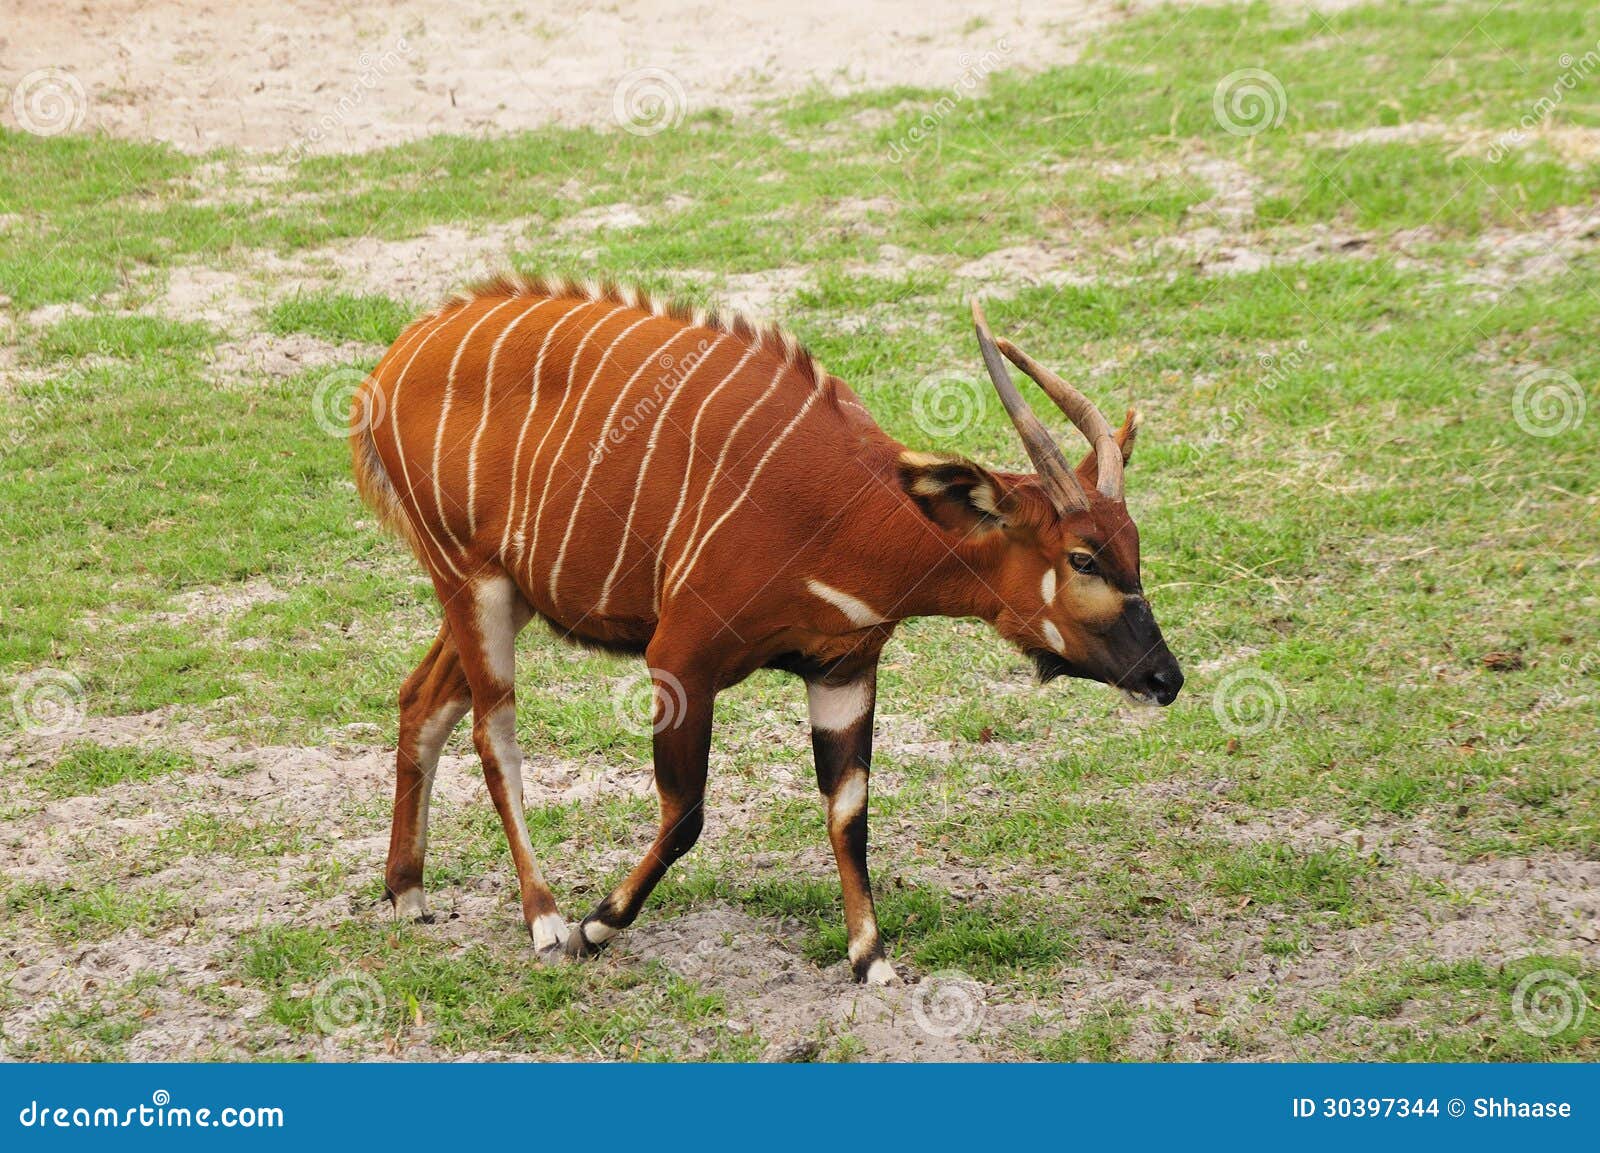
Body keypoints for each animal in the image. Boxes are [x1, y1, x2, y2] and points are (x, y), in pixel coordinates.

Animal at [350, 276, 1182, 985]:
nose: (1165, 677)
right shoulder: (681, 656)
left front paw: (870, 957)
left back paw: (408, 891)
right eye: (1082, 557)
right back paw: (545, 917)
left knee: (422, 699)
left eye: (1136, 546)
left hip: (506, 592)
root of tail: (389, 363)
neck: (847, 507)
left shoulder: (843, 669)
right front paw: (595, 926)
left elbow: (849, 811)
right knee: (495, 730)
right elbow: (685, 813)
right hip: (473, 581)